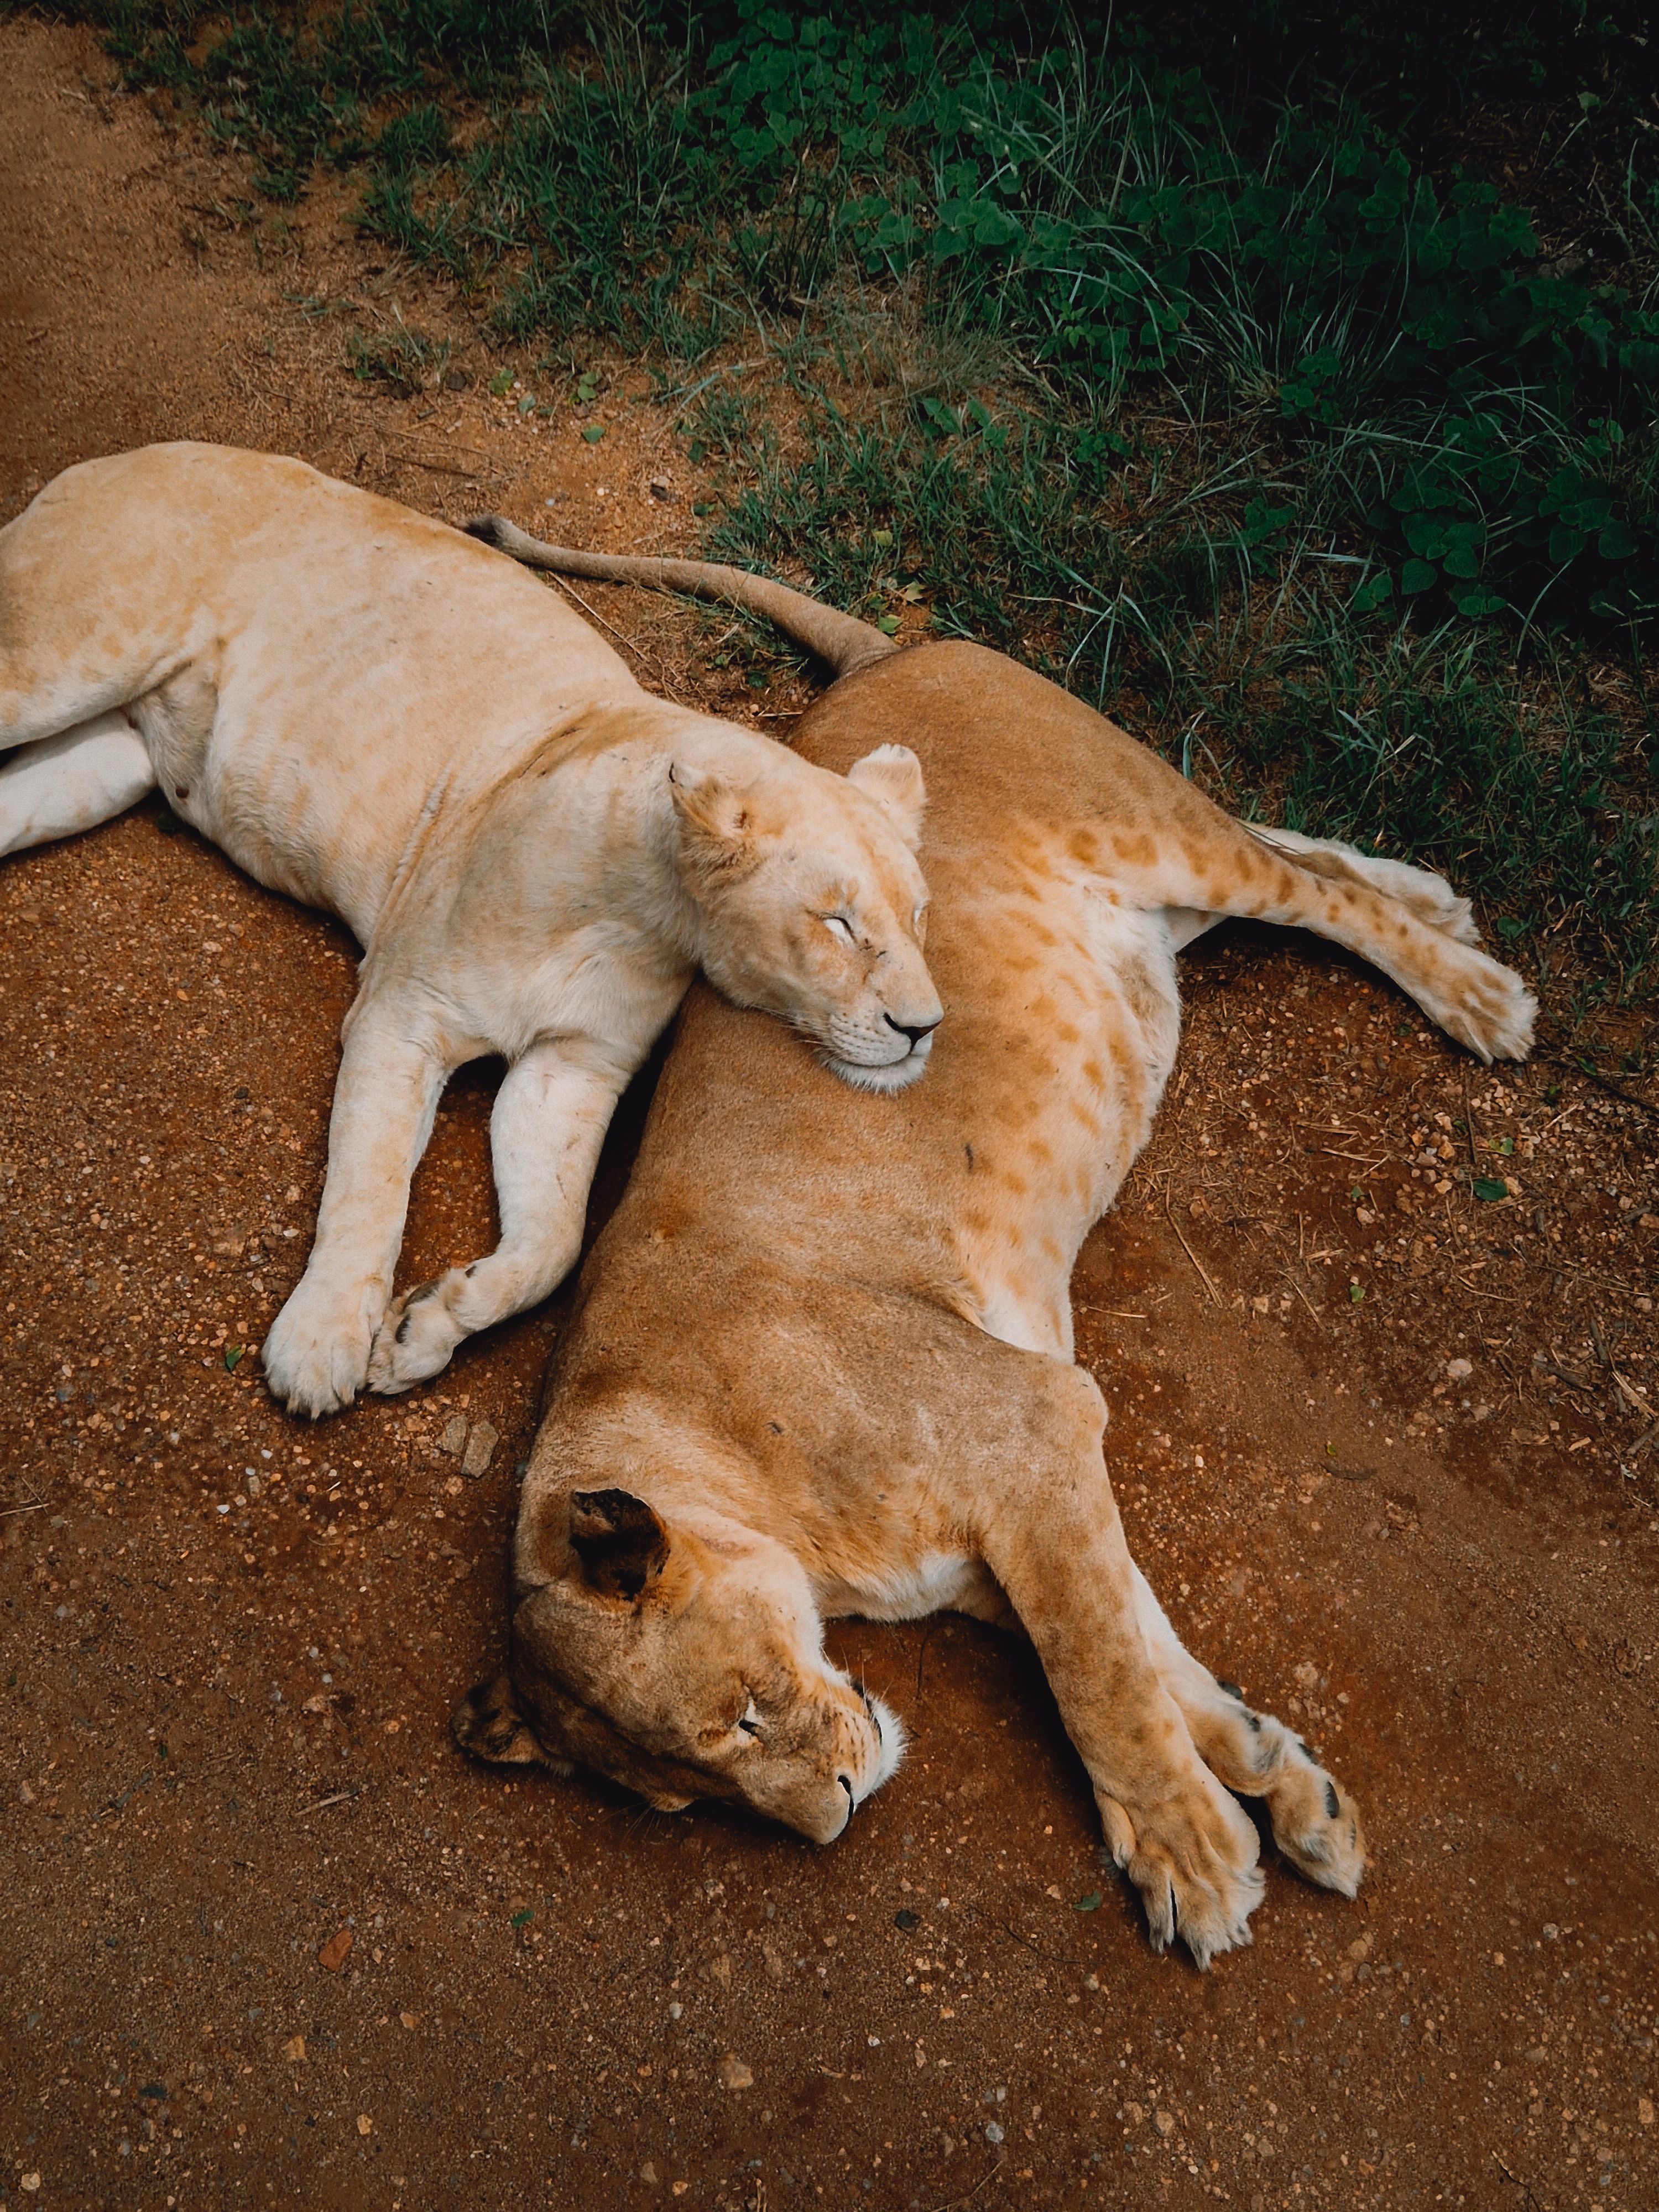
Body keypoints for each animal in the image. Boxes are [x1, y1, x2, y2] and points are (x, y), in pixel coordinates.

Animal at [0, 443, 940, 1418]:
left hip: (107, 763)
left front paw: (425, 1329)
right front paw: (321, 1346)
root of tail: (126, 454)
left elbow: (557, 1242)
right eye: (837, 922)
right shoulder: (401, 1012)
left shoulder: (572, 1067)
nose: (925, 1029)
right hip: (61, 662)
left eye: (917, 914)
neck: (642, 915)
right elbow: (370, 1185)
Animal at [454, 523, 1535, 1964]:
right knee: (1296, 849)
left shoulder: (1034, 1427)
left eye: (740, 1715)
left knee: (1304, 885)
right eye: (686, 1799)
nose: (835, 1812)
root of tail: (890, 654)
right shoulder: (1018, 1505)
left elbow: (1097, 1680)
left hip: (1147, 830)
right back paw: (1446, 902)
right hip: (1157, 894)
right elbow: (1149, 1651)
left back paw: (1479, 991)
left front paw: (1192, 1860)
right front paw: (1279, 1778)